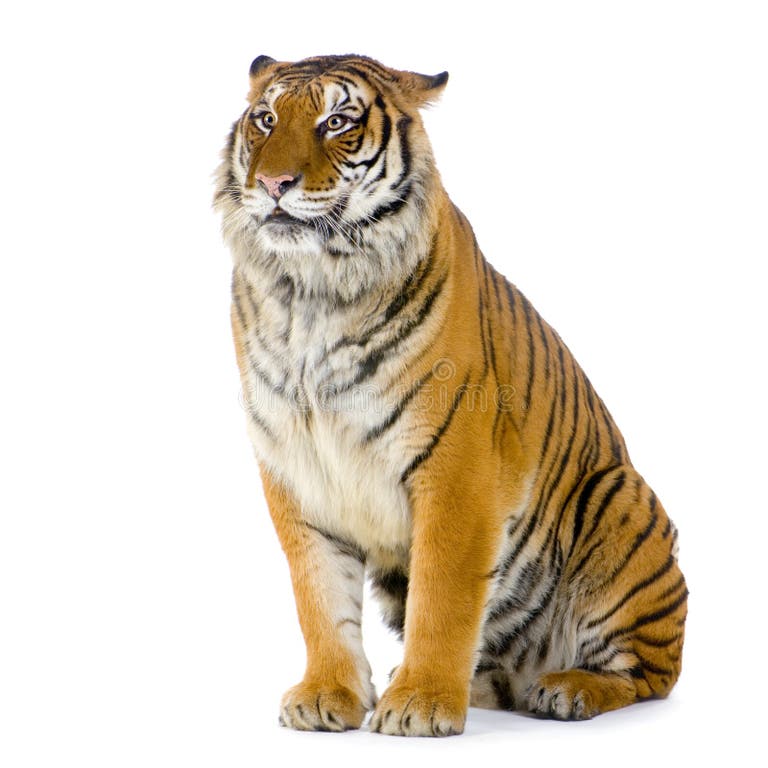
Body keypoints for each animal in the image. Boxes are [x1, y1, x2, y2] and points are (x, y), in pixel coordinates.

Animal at [213, 54, 687, 737]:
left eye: (337, 122)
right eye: (266, 120)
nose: (273, 182)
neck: (311, 290)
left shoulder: (457, 469)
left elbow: (443, 597)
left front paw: (419, 704)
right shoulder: (296, 469)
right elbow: (319, 596)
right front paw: (328, 695)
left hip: (619, 501)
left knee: (649, 674)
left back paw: (566, 690)